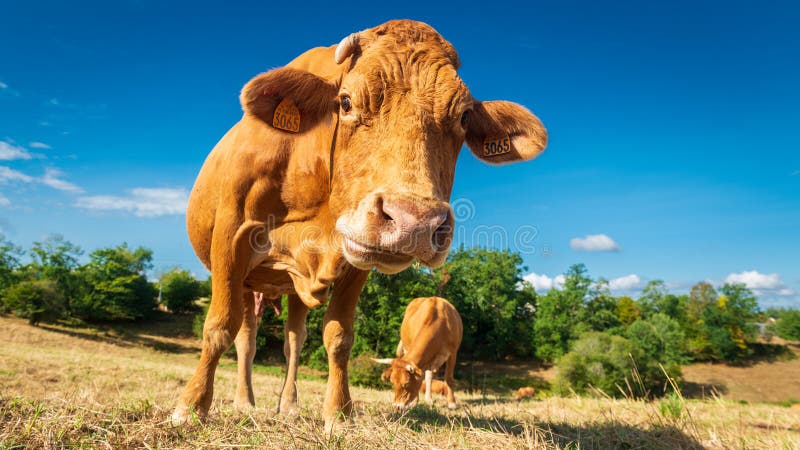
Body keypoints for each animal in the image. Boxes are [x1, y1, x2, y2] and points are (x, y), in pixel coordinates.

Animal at [172, 19, 547, 432]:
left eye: (464, 117)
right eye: (346, 101)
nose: (414, 222)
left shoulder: (356, 260)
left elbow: (339, 336)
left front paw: (338, 413)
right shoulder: (232, 236)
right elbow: (219, 326)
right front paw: (190, 406)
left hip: (289, 285)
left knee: (293, 339)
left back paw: (288, 404)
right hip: (250, 281)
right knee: (246, 338)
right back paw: (245, 401)